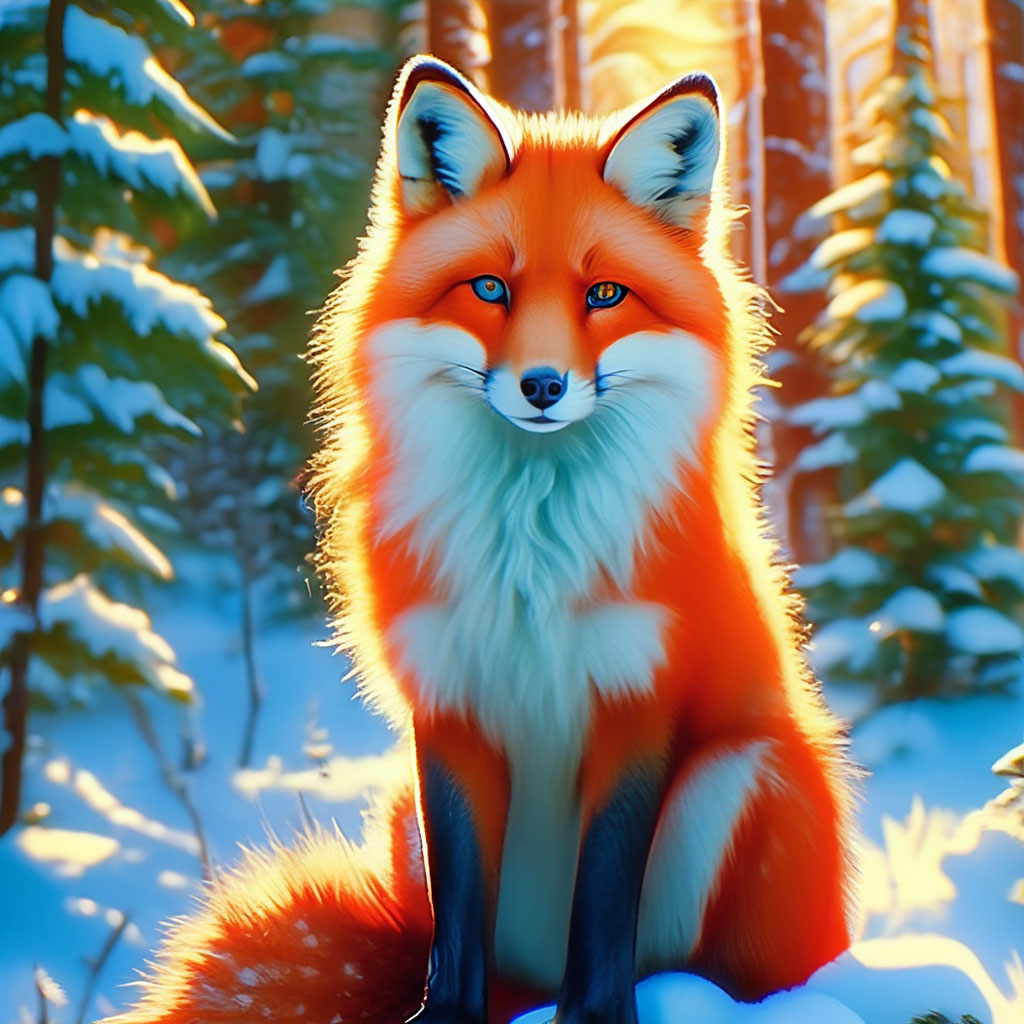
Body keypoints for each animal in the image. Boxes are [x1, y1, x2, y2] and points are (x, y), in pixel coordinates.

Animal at [106, 56, 857, 1024]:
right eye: (490, 288)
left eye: (604, 294)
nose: (541, 386)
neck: (528, 555)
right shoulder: (446, 707)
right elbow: (458, 912)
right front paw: (445, 1017)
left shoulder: (637, 705)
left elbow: (603, 903)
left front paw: (596, 1017)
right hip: (401, 813)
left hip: (741, 773)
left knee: (709, 968)